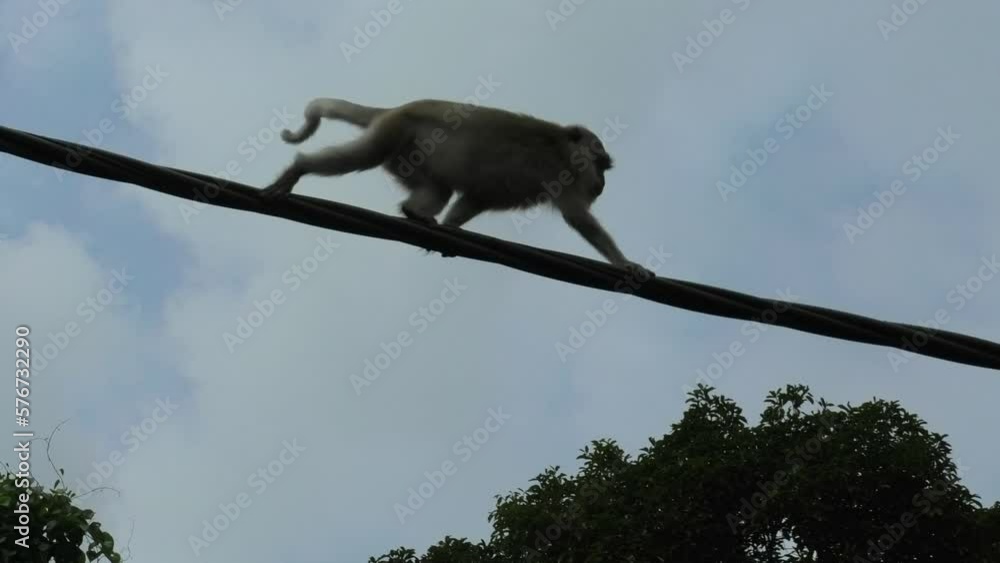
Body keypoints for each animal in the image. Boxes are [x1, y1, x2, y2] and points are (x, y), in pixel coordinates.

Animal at [260, 97, 652, 277]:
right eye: (601, 165)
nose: (602, 183)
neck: (565, 150)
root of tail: (394, 109)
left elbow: (476, 197)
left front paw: (450, 230)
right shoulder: (565, 176)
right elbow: (579, 218)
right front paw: (627, 264)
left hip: (407, 156)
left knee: (438, 190)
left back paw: (416, 214)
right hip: (394, 134)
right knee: (361, 156)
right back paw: (298, 169)